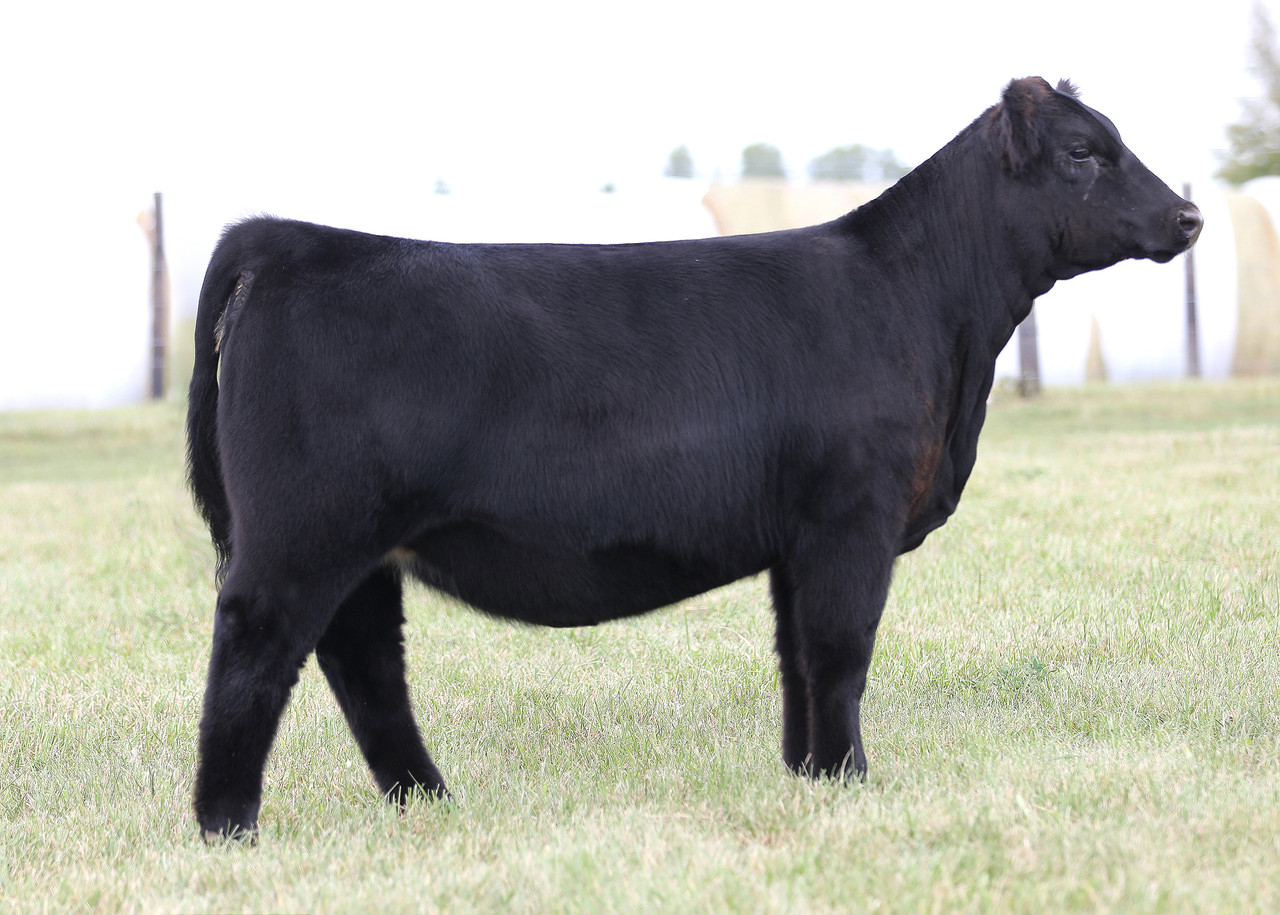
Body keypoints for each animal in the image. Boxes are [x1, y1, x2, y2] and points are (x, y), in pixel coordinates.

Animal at [186, 77, 1201, 841]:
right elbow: (842, 649)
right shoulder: (852, 516)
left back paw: (429, 801)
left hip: (361, 549)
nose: (1189, 216)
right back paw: (227, 824)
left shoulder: (798, 536)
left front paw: (811, 778)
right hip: (303, 535)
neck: (934, 318)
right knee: (258, 649)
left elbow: (797, 656)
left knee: (364, 665)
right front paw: (853, 780)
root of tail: (289, 237)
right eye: (1084, 151)